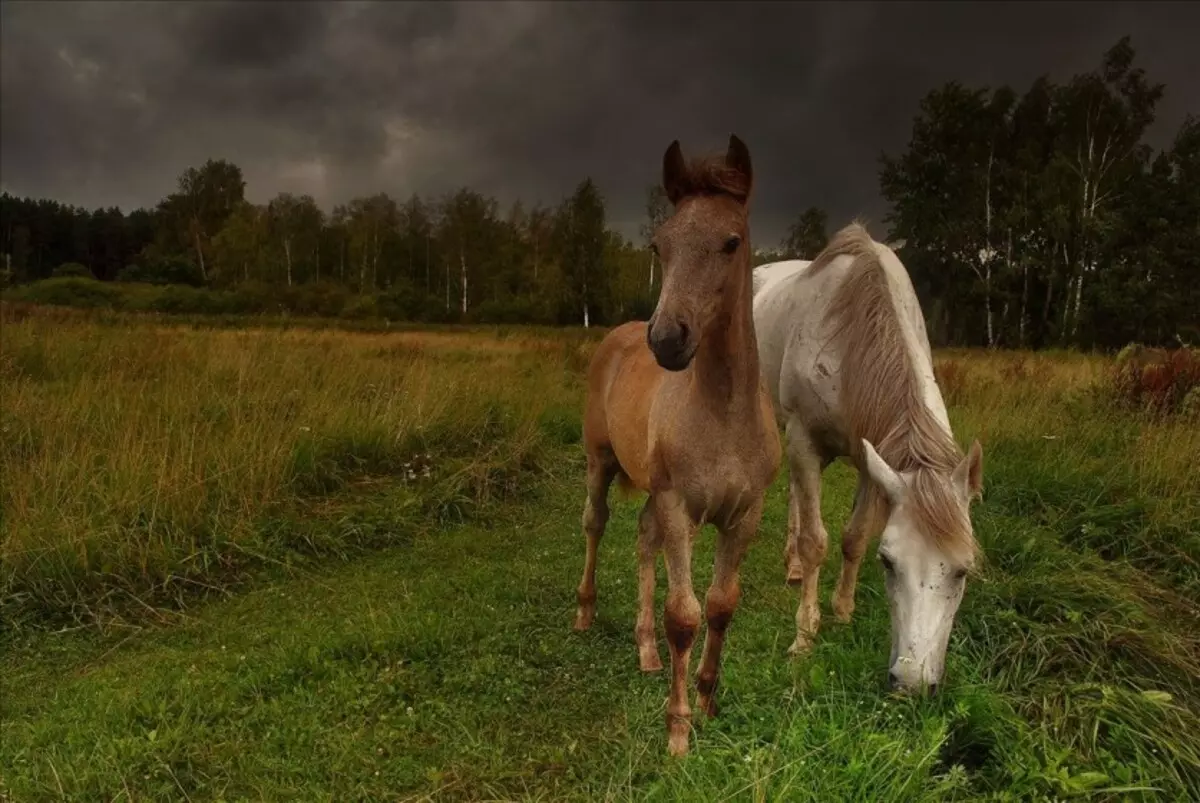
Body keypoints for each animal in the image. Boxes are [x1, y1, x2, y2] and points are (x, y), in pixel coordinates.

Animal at [573, 134, 782, 753]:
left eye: (731, 241)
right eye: (658, 246)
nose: (666, 339)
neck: (723, 415)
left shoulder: (745, 513)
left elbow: (720, 606)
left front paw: (709, 700)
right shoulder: (679, 506)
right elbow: (684, 615)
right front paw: (678, 729)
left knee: (642, 538)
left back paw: (645, 651)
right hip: (600, 462)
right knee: (596, 523)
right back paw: (585, 613)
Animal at [753, 220, 979, 691]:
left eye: (963, 571)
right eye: (889, 562)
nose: (911, 683)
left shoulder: (869, 457)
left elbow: (853, 537)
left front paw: (842, 610)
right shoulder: (804, 438)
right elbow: (816, 541)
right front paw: (804, 635)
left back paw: (793, 567)